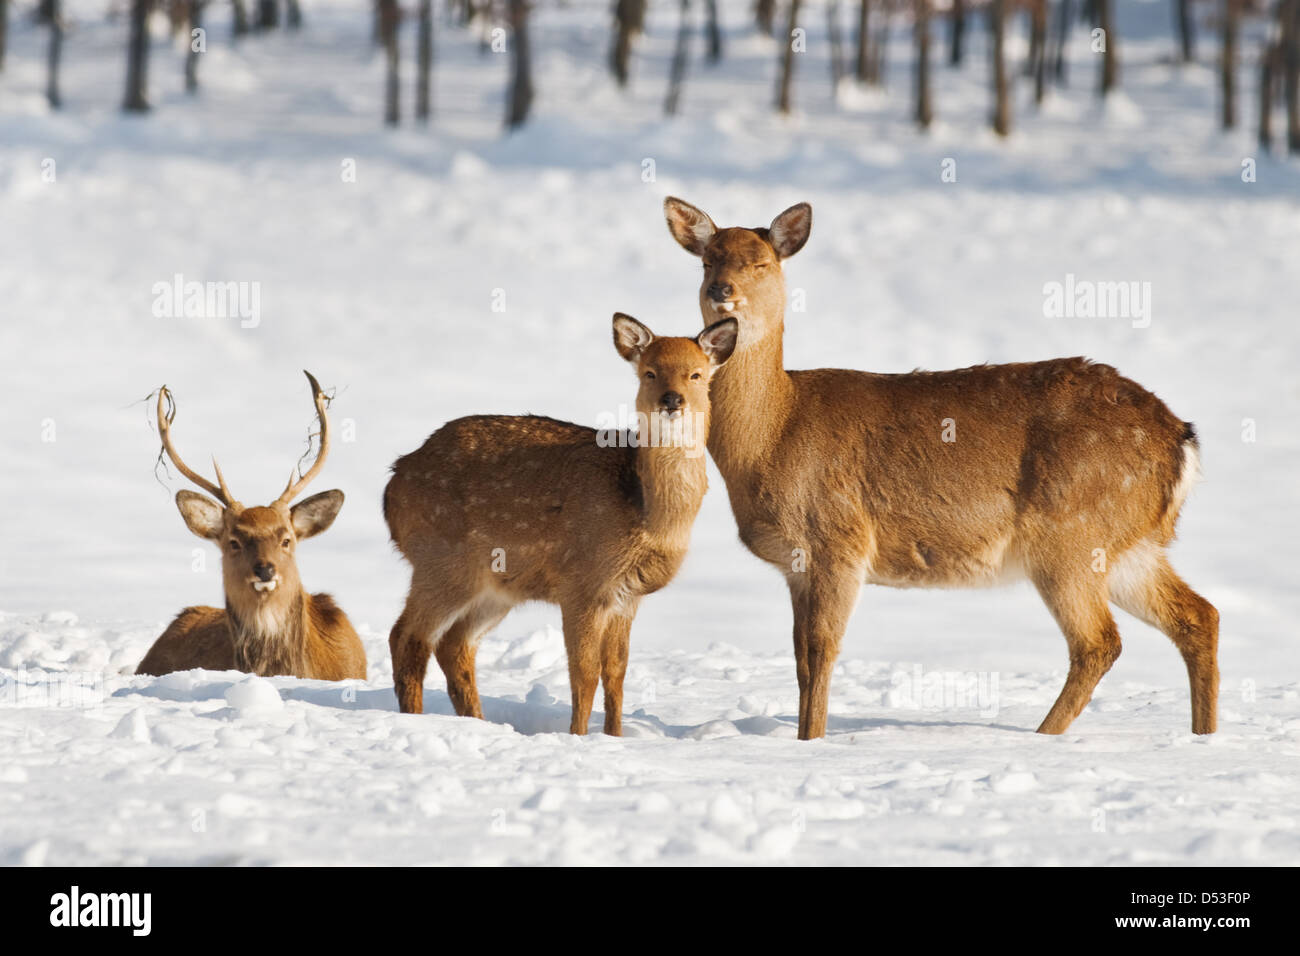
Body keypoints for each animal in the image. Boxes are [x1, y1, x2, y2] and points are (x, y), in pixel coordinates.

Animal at [384, 314, 738, 735]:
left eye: (696, 374)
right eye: (649, 372)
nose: (672, 400)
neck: (645, 515)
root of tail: (393, 484)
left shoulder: (627, 596)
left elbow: (616, 673)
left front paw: (616, 737)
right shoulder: (581, 583)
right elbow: (584, 673)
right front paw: (579, 737)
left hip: (496, 588)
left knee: (454, 645)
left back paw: (478, 722)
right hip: (442, 561)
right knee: (407, 636)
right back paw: (415, 719)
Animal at [663, 197, 1219, 739]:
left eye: (761, 262)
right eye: (708, 259)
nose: (721, 290)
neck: (774, 432)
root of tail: (1180, 439)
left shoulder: (836, 541)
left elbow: (820, 655)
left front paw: (811, 743)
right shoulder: (797, 567)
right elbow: (801, 659)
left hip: (1070, 533)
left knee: (1099, 642)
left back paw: (1041, 736)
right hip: (1129, 543)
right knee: (1199, 616)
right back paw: (1203, 737)